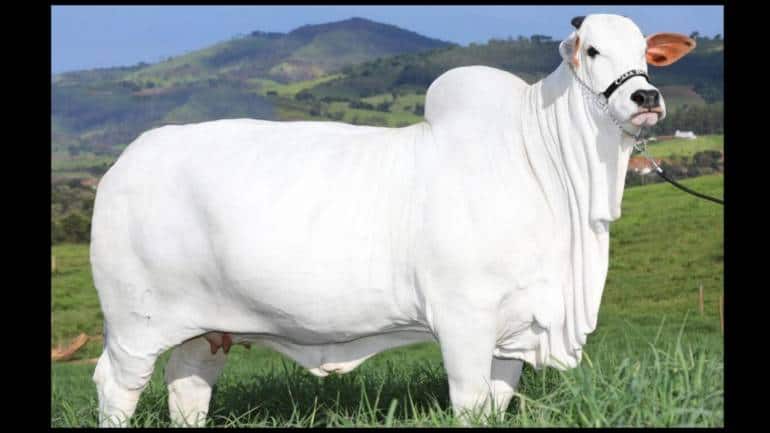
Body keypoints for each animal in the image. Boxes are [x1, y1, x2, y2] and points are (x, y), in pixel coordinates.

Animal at [90, 14, 695, 427]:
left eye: (645, 51)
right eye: (592, 49)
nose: (646, 96)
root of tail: (123, 163)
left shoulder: (513, 331)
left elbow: (496, 404)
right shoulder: (463, 320)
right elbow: (470, 403)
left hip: (207, 329)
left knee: (187, 386)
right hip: (134, 324)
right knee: (116, 387)